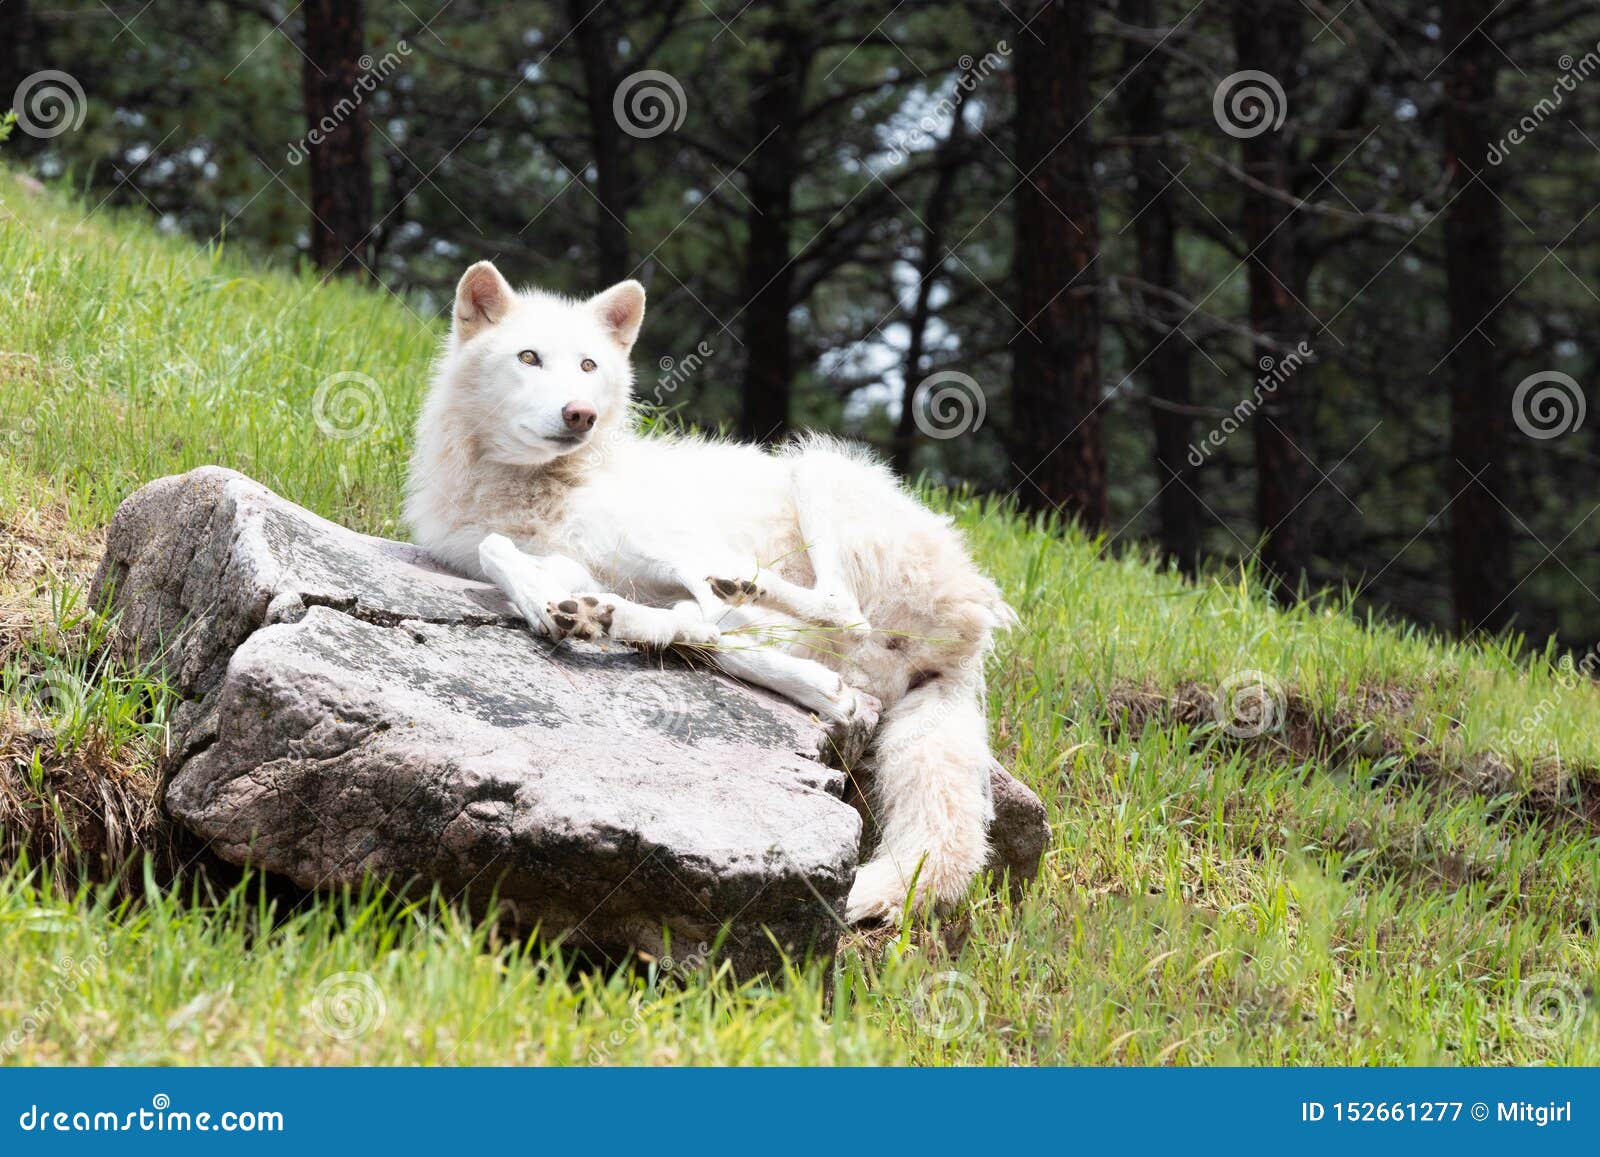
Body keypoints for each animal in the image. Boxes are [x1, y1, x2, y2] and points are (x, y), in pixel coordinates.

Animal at [404, 260, 1017, 921]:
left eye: (588, 366)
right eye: (528, 357)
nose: (579, 414)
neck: (537, 487)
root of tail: (972, 646)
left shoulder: (661, 538)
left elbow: (693, 586)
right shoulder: (551, 556)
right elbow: (499, 553)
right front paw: (549, 607)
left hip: (815, 463)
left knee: (822, 608)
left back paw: (740, 595)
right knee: (710, 630)